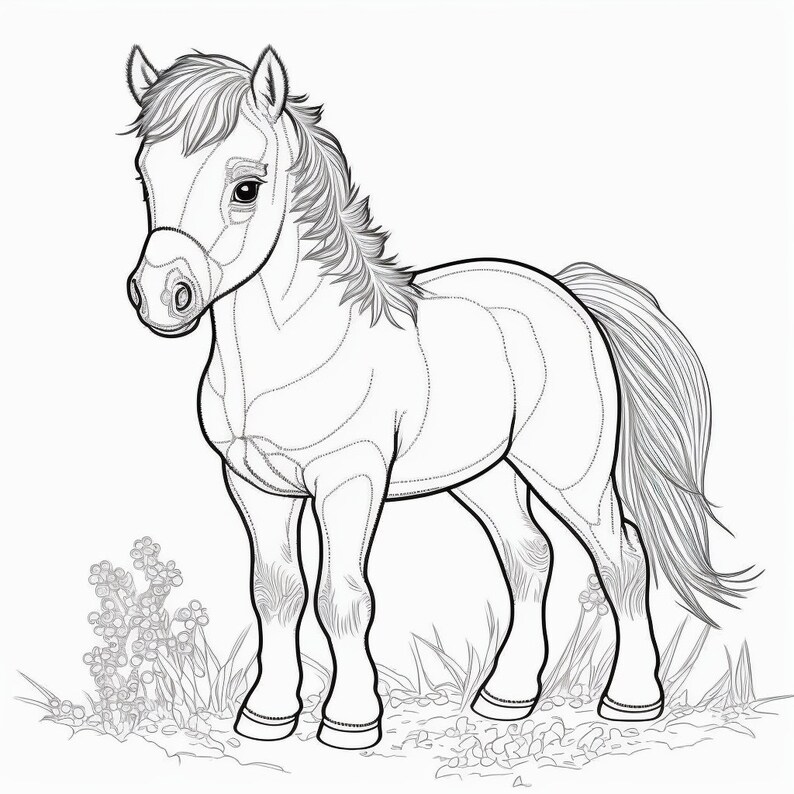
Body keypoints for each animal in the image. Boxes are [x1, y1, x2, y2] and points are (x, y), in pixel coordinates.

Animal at [124, 45, 745, 750]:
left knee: (622, 559)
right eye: (145, 177)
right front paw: (266, 716)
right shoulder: (255, 485)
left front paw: (350, 721)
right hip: (486, 475)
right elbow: (276, 592)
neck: (293, 350)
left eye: (246, 188)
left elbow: (343, 597)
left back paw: (632, 700)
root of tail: (567, 294)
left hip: (572, 476)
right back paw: (506, 698)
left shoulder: (350, 480)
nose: (160, 295)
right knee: (530, 559)